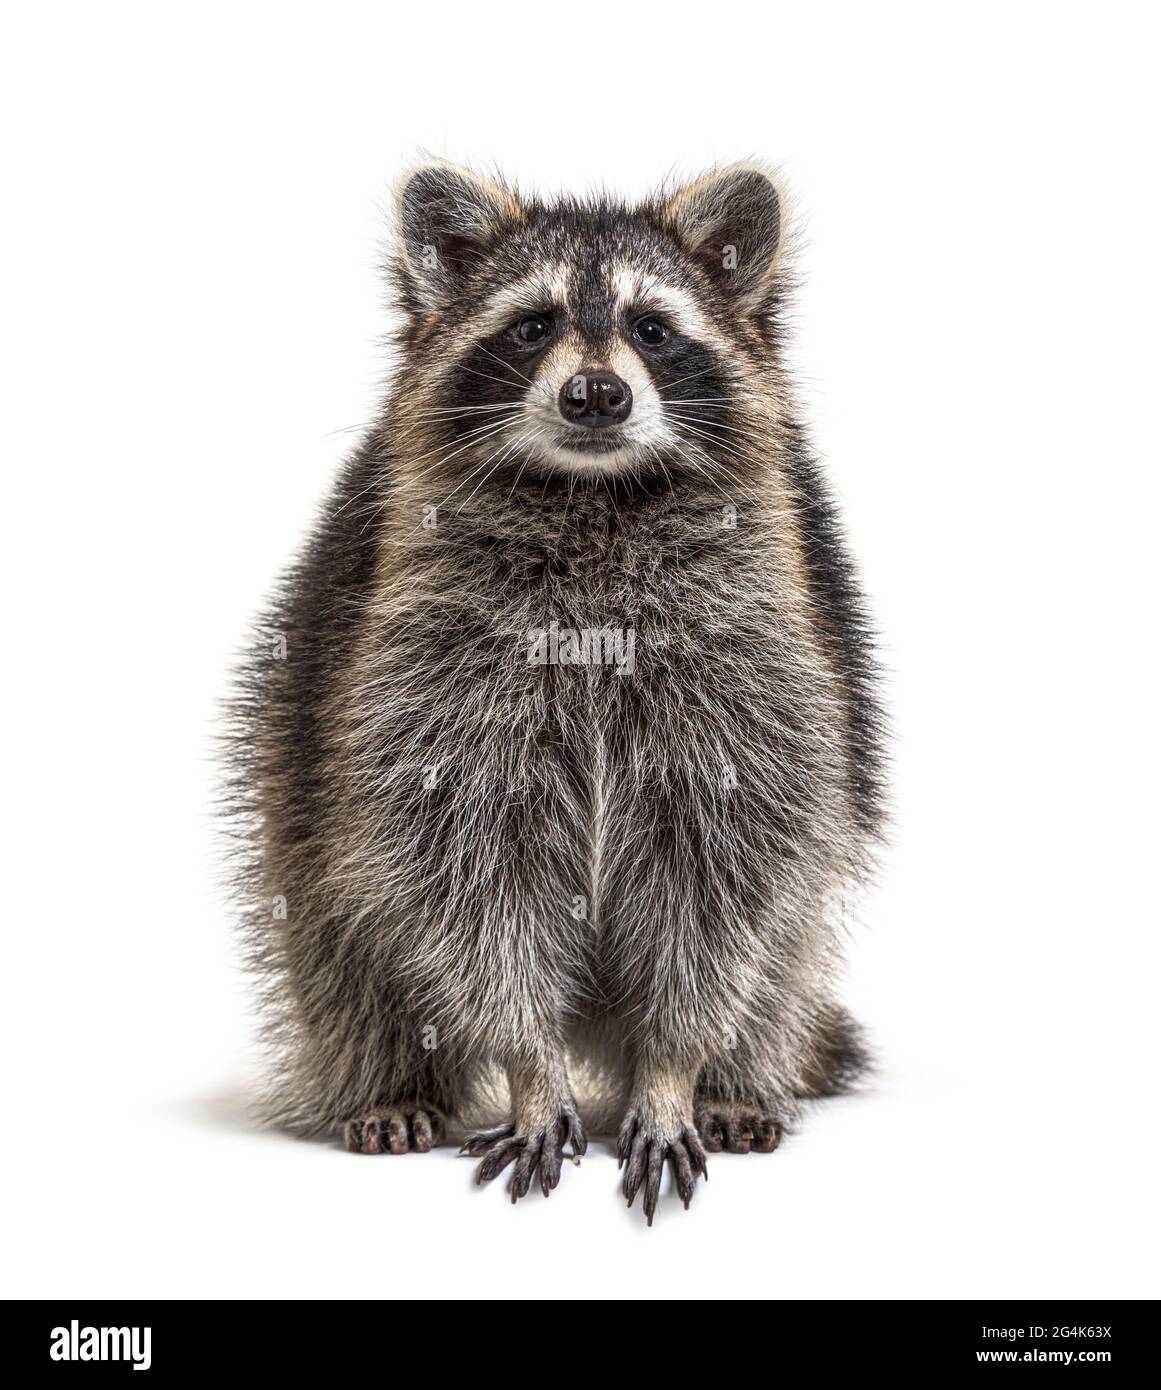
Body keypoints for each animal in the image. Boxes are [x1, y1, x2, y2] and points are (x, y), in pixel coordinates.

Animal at [225, 160, 885, 1223]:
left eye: (652, 328)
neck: (594, 497)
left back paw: (739, 1079)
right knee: (334, 950)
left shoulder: (760, 661)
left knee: (784, 949)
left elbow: (728, 879)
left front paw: (675, 1067)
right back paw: (386, 1083)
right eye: (531, 325)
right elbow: (461, 874)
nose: (595, 394)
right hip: (296, 780)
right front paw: (529, 1064)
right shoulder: (423, 667)